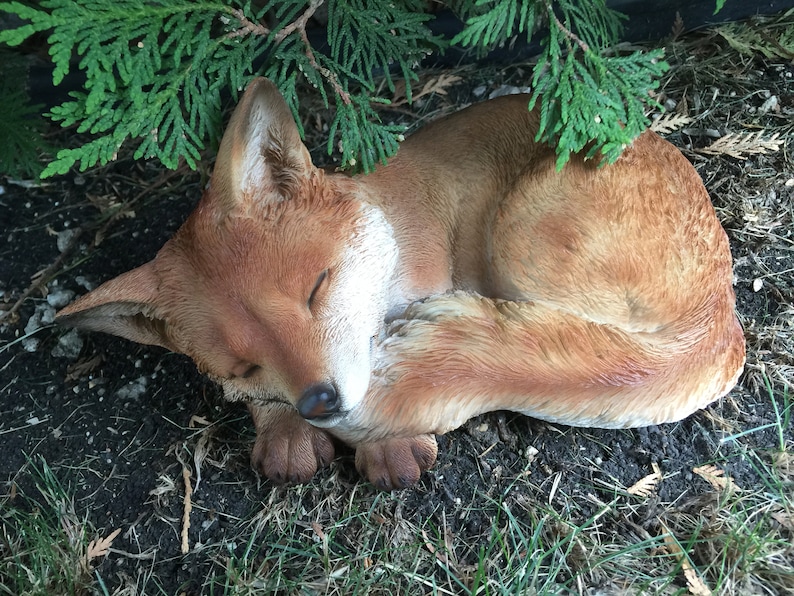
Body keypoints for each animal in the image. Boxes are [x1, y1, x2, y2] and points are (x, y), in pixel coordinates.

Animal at [57, 77, 746, 491]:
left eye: (316, 287)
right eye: (242, 365)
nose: (321, 403)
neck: (396, 219)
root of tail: (721, 316)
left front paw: (389, 445)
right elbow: (264, 406)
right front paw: (286, 432)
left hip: (519, 240)